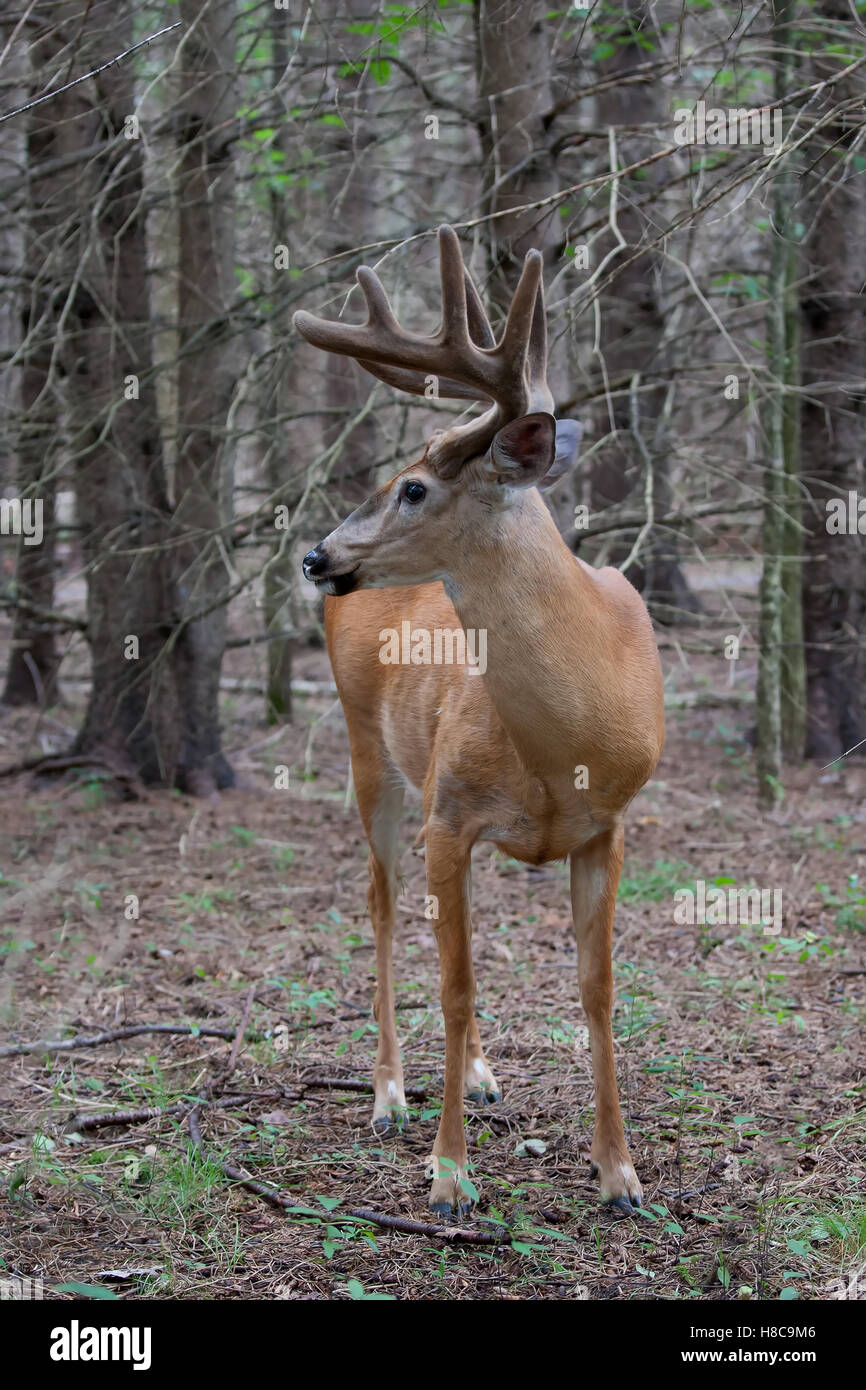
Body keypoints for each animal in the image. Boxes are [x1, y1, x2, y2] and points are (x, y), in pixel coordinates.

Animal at [294, 226, 665, 1218]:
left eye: (416, 488)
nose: (317, 554)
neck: (572, 737)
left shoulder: (608, 825)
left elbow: (597, 991)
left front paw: (619, 1173)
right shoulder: (450, 817)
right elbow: (455, 987)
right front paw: (451, 1174)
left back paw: (486, 1075)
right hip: (373, 757)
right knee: (382, 905)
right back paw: (389, 1093)